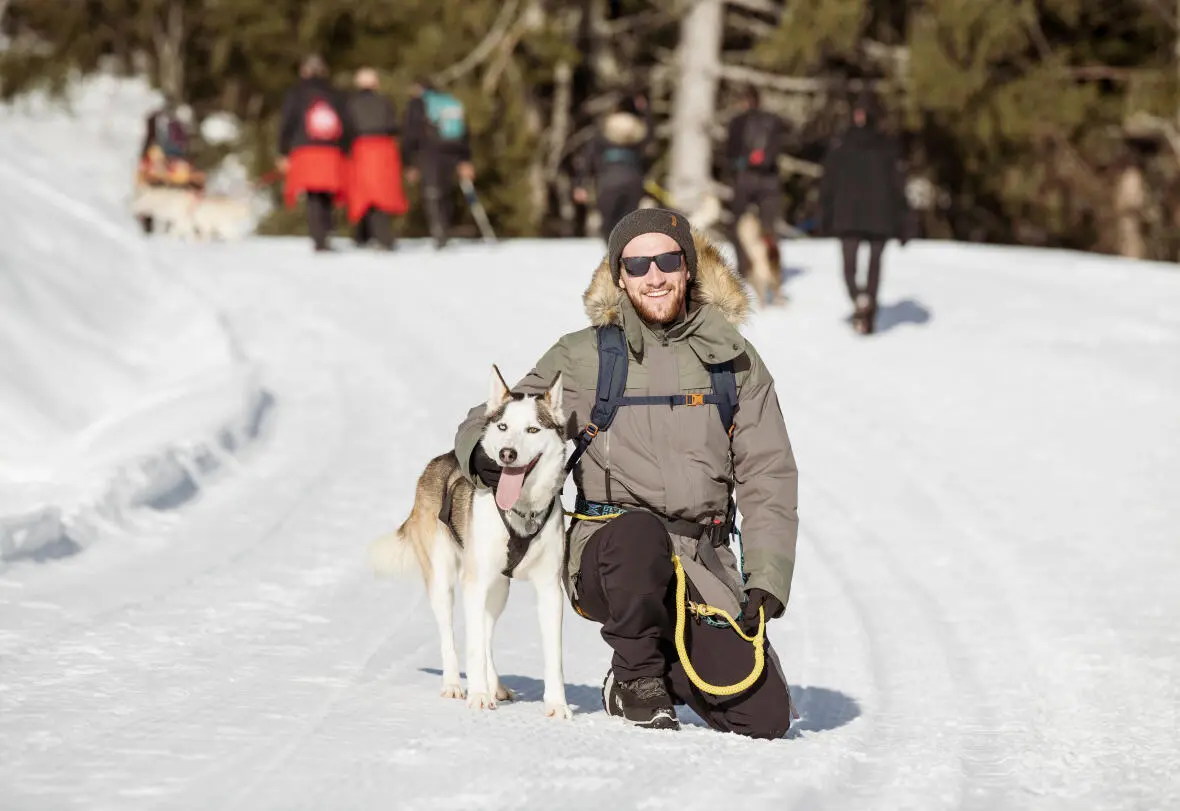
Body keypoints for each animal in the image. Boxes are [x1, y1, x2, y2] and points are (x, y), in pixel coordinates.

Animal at [368, 365, 571, 717]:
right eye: (503, 426)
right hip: (444, 581)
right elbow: (473, 647)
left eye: (532, 429)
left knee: (487, 632)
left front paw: (557, 705)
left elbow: (553, 656)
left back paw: (494, 685)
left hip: (498, 589)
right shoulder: (473, 584)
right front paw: (477, 696)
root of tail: (437, 462)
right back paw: (455, 684)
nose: (507, 453)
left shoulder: (549, 589)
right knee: (452, 636)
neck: (523, 511)